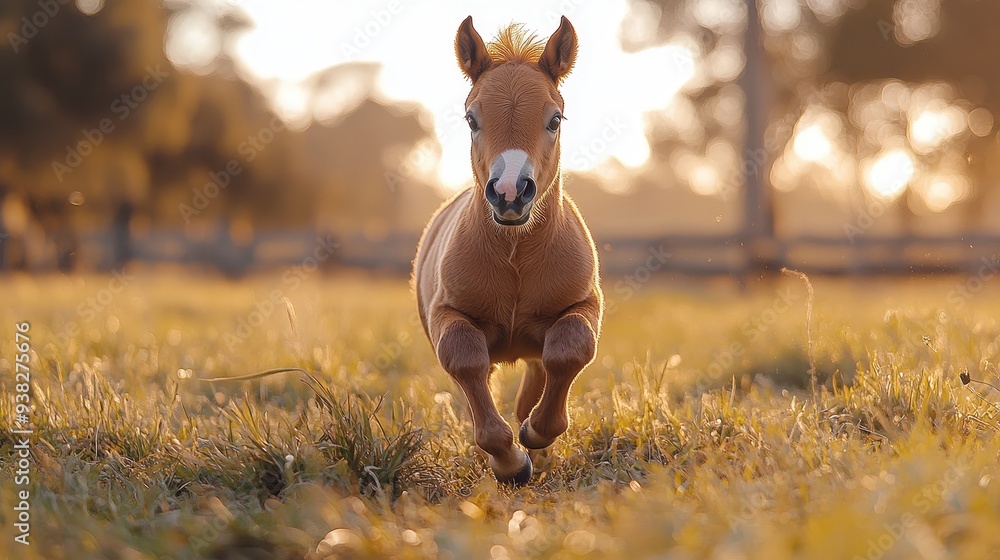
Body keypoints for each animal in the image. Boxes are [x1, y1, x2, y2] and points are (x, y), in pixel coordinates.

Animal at [413, 15, 603, 485]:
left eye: (554, 119)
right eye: (471, 118)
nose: (509, 192)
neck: (516, 256)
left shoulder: (585, 304)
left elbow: (571, 346)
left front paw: (535, 433)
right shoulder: (448, 313)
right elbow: (464, 359)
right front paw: (512, 461)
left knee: (540, 366)